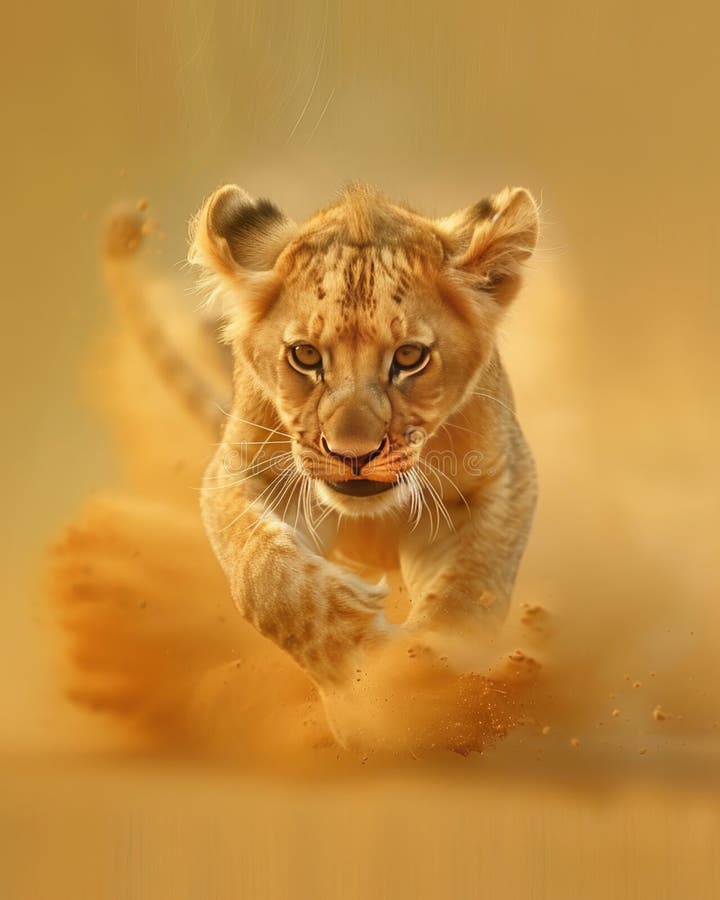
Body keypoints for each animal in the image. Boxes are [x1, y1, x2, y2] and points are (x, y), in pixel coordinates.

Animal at [51, 182, 542, 756]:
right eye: (306, 356)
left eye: (409, 357)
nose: (354, 453)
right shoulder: (241, 472)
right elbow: (265, 577)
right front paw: (376, 685)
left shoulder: (499, 479)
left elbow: (470, 594)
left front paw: (431, 691)